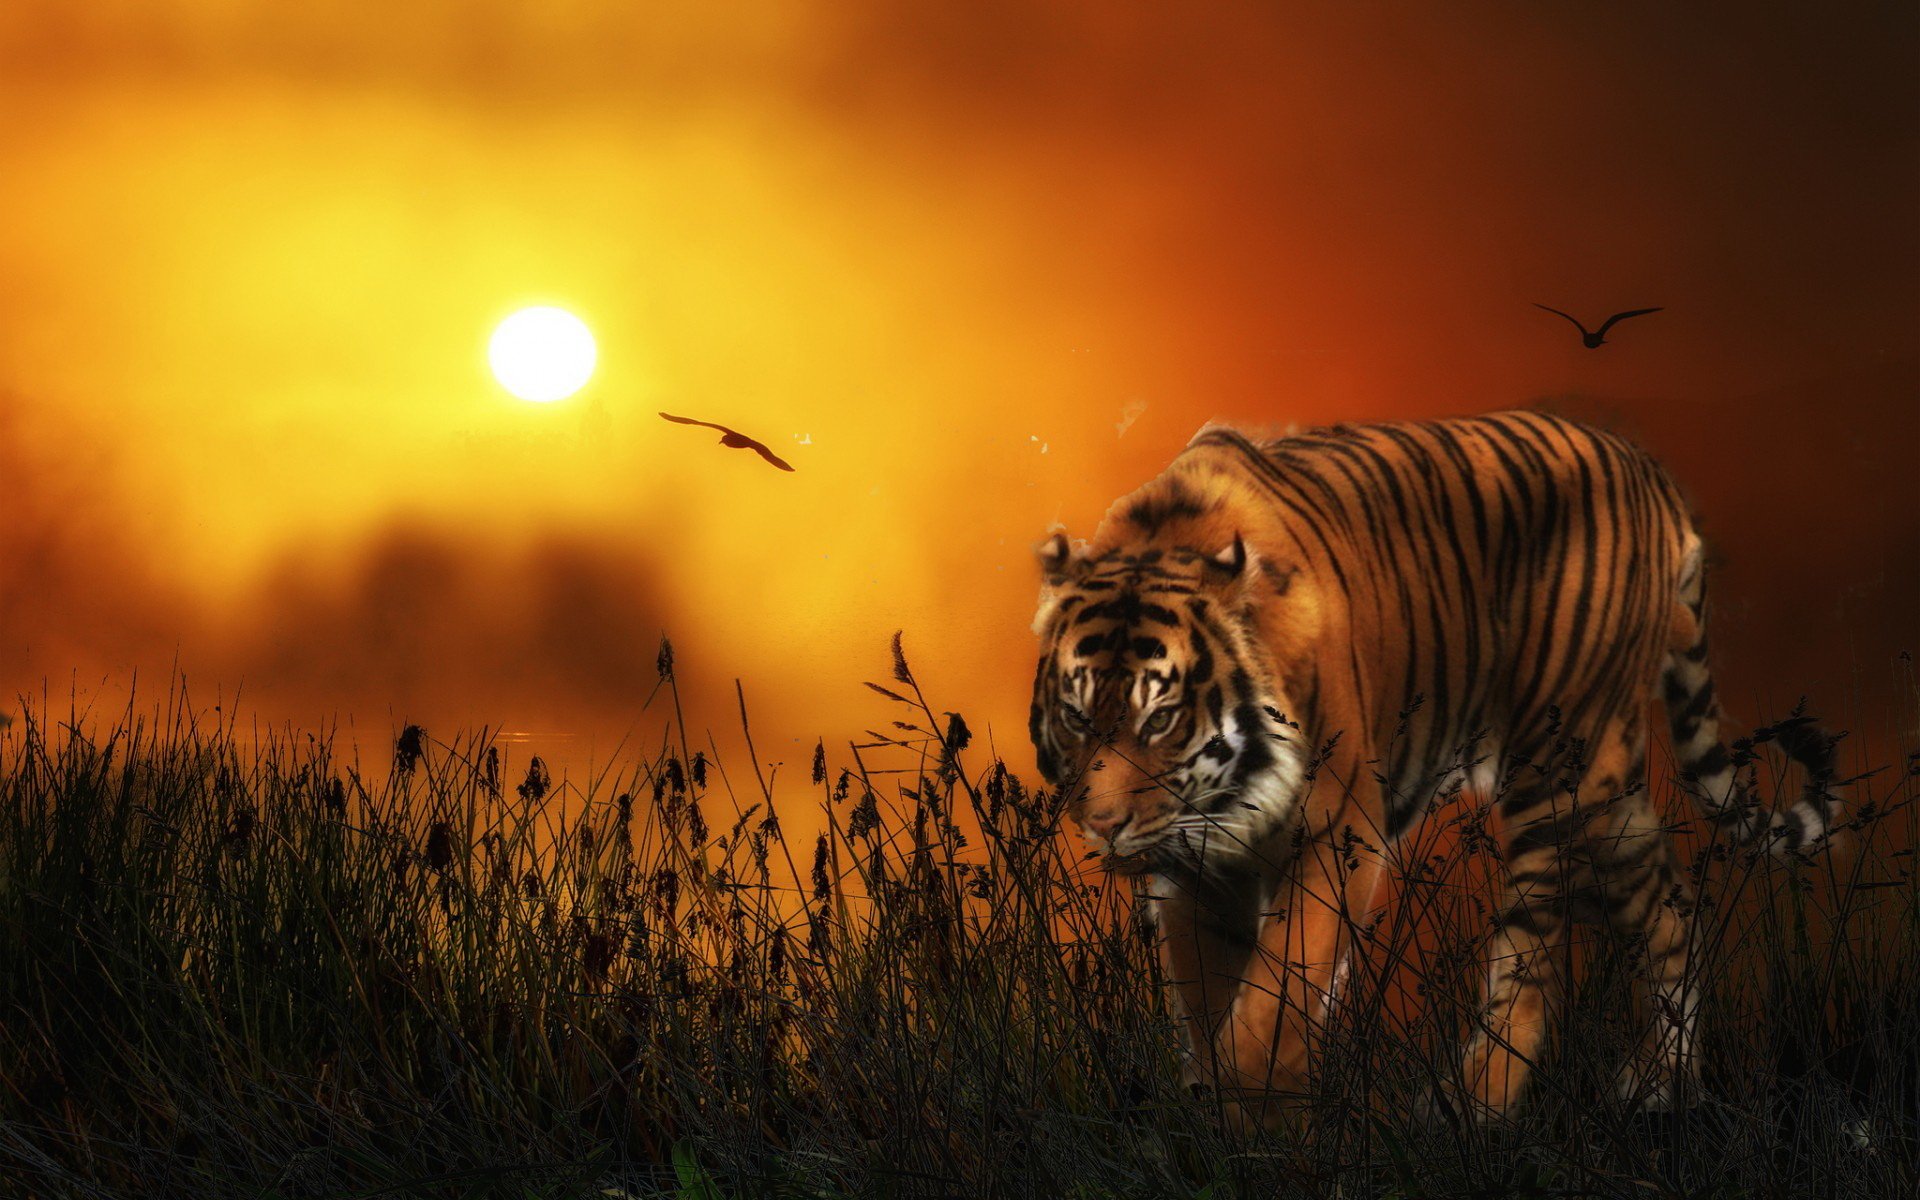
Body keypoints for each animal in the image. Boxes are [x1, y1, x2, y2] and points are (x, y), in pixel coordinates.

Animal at [1027, 410, 1841, 1124]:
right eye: (1077, 716)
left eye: (1159, 719)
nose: (1102, 826)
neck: (1223, 798)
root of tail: (1650, 473)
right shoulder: (1198, 866)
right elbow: (1207, 999)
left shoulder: (1337, 833)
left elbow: (1269, 1003)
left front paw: (1263, 1113)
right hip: (1607, 787)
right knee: (1672, 905)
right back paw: (1658, 1086)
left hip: (1554, 770)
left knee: (1531, 958)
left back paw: (1474, 1103)